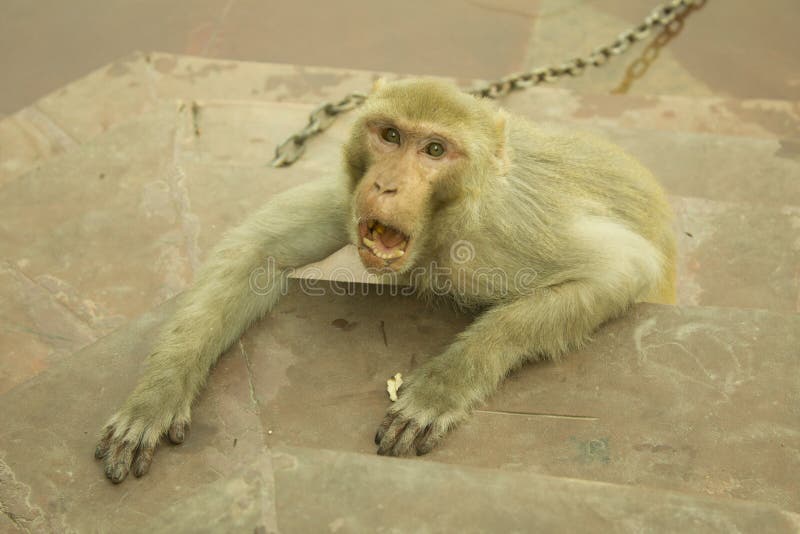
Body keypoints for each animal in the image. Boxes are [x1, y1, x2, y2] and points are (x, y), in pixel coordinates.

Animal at [95, 78, 676, 483]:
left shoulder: (507, 230)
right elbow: (256, 252)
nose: (388, 186)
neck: (442, 229)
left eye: (435, 150)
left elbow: (623, 268)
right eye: (390, 135)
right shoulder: (348, 195)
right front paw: (157, 395)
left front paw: (443, 385)